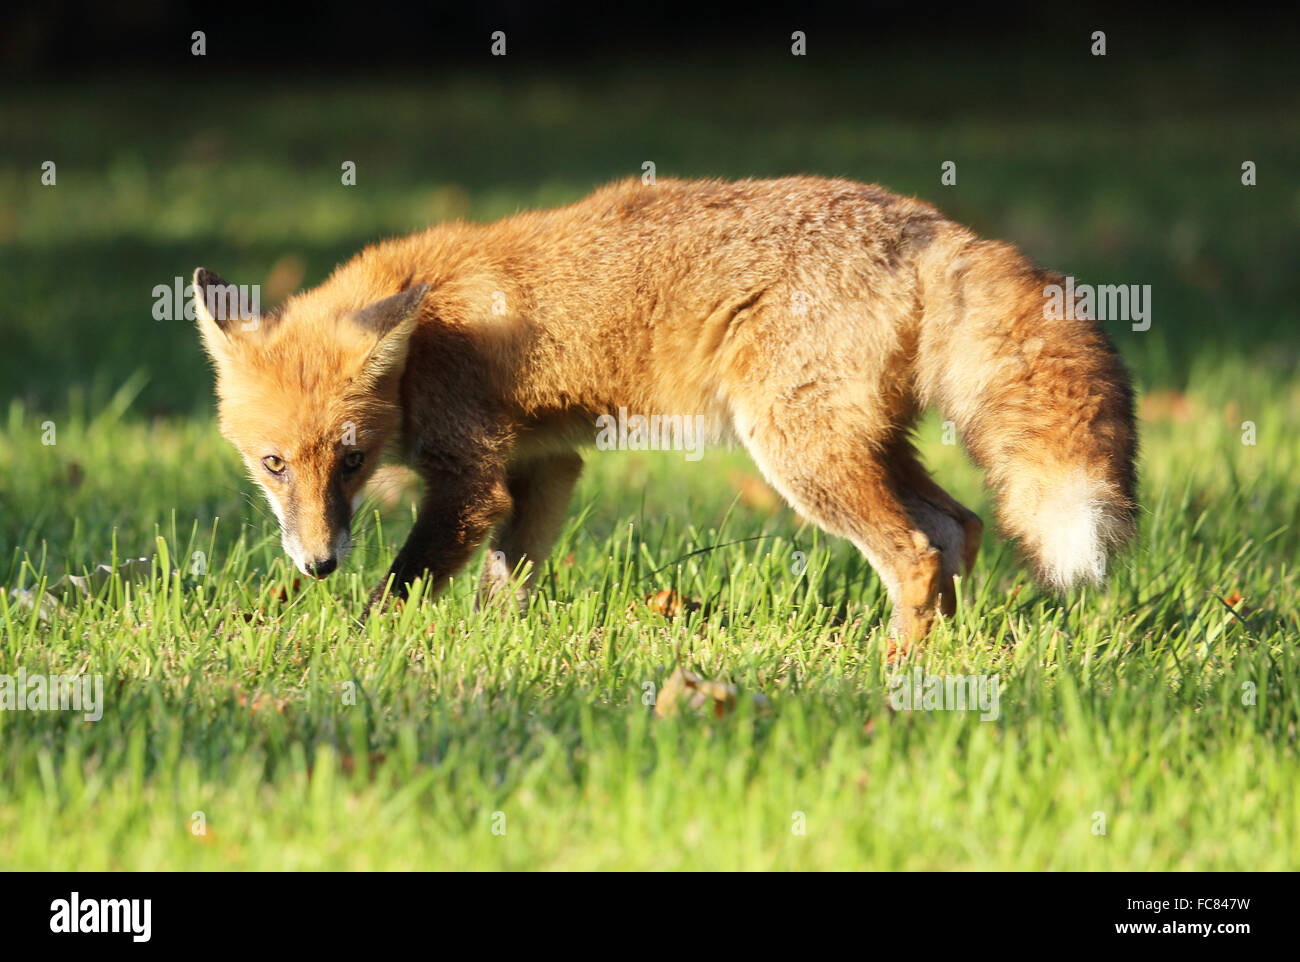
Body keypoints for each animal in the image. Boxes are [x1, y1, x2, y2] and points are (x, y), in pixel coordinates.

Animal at [193, 176, 1137, 643]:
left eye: (351, 461)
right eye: (274, 465)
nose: (317, 565)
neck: (426, 333)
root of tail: (930, 224)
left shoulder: (469, 475)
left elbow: (406, 583)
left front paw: (356, 644)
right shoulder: (544, 463)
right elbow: (507, 578)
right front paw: (494, 649)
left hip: (799, 455)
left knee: (913, 551)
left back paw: (890, 666)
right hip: (862, 443)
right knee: (957, 530)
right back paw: (942, 656)